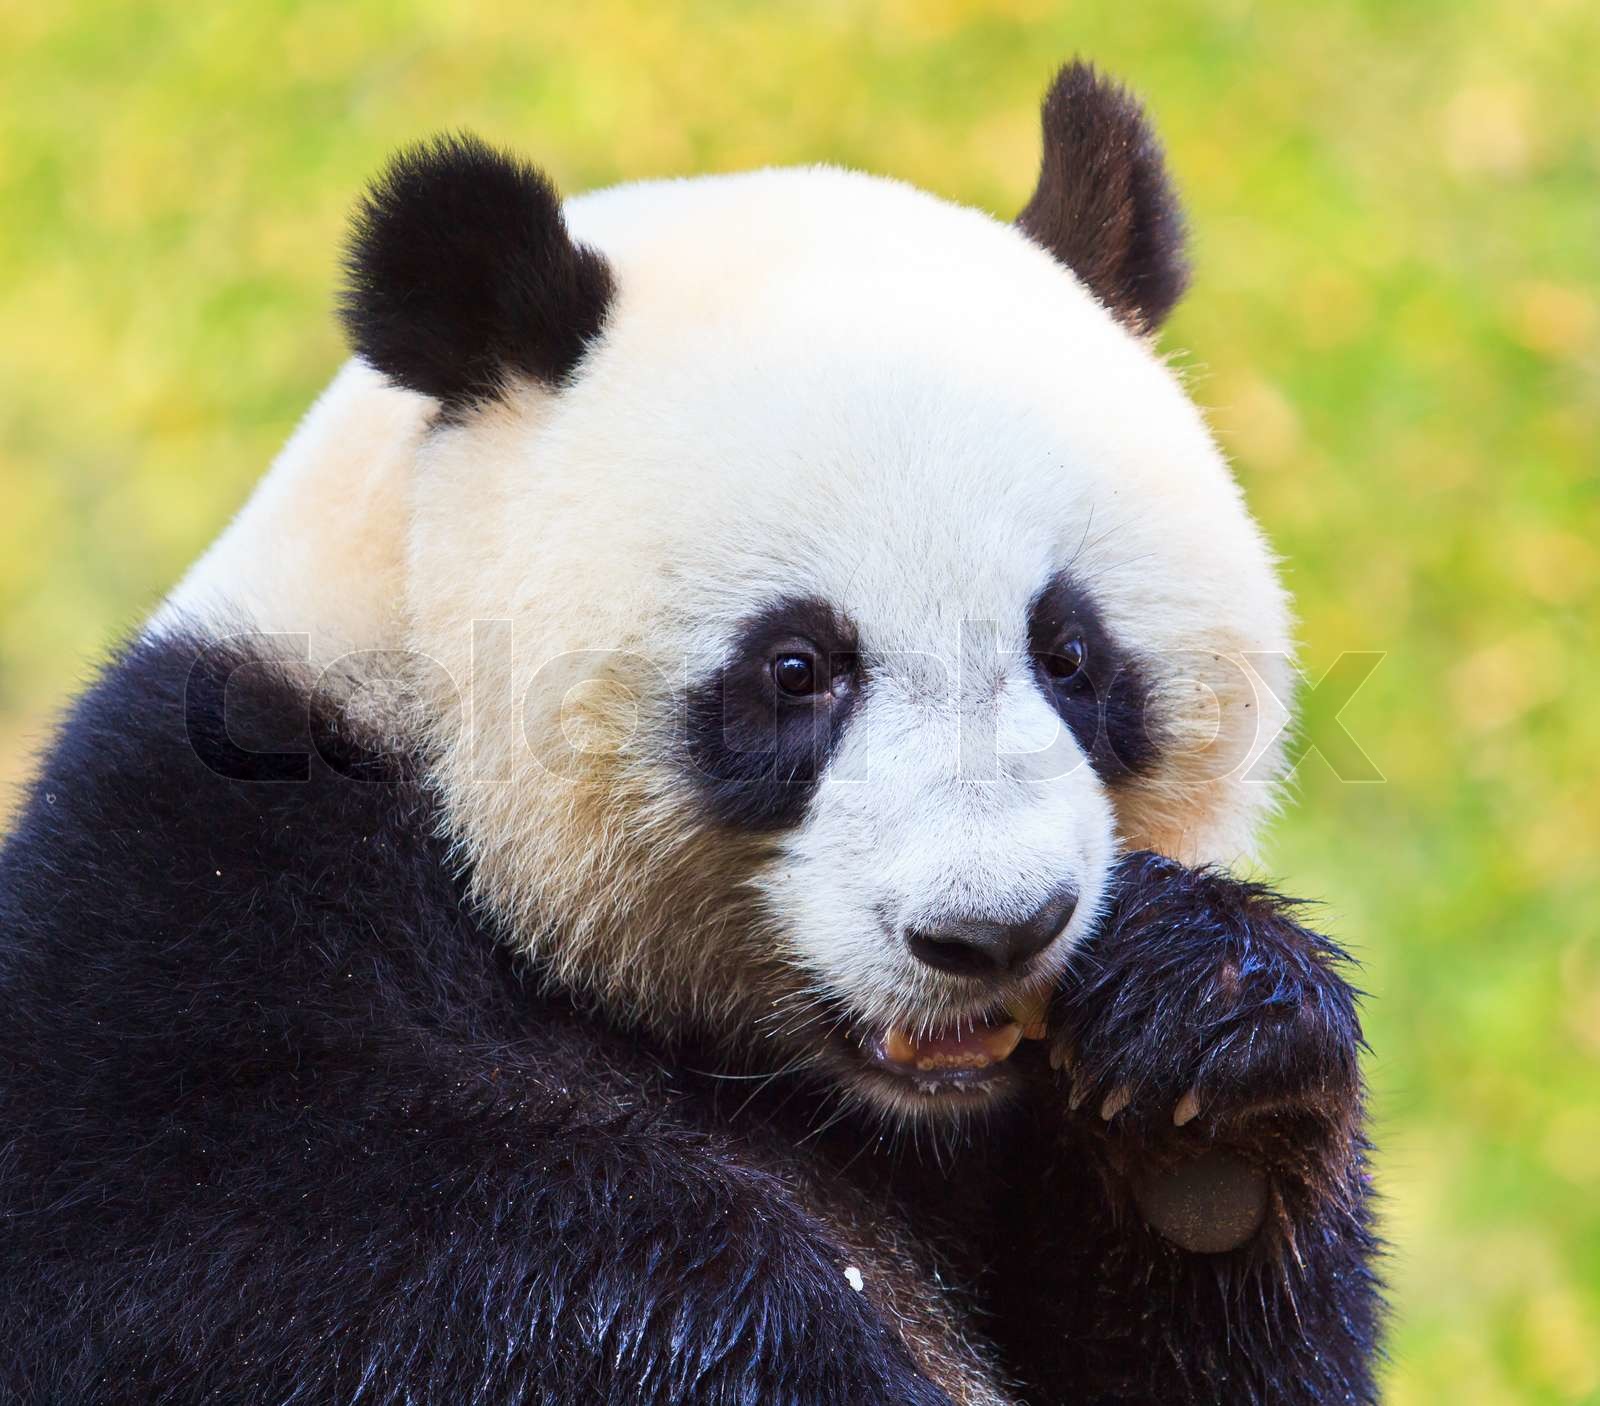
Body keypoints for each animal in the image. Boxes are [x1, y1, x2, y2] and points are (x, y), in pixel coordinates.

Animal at [0, 62, 1379, 1405]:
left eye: (1071, 654)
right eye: (796, 669)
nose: (993, 931)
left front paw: (1206, 1020)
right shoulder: (196, 929)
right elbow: (362, 1249)